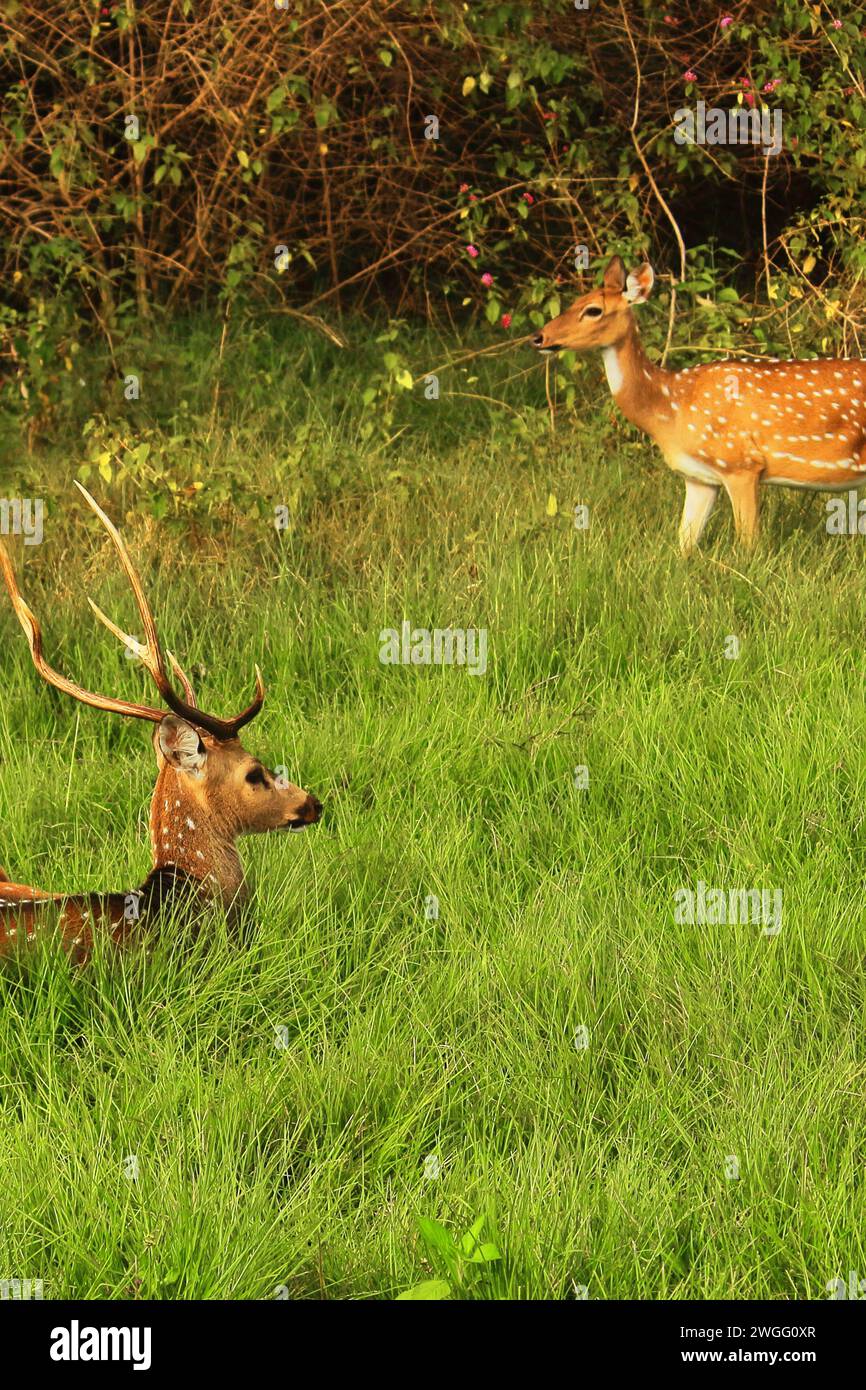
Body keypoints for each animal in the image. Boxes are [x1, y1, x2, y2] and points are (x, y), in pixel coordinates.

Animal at [533, 255, 866, 552]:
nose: (538, 337)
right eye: (574, 301)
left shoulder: (741, 462)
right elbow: (684, 545)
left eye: (593, 310)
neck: (671, 408)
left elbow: (749, 545)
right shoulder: (698, 478)